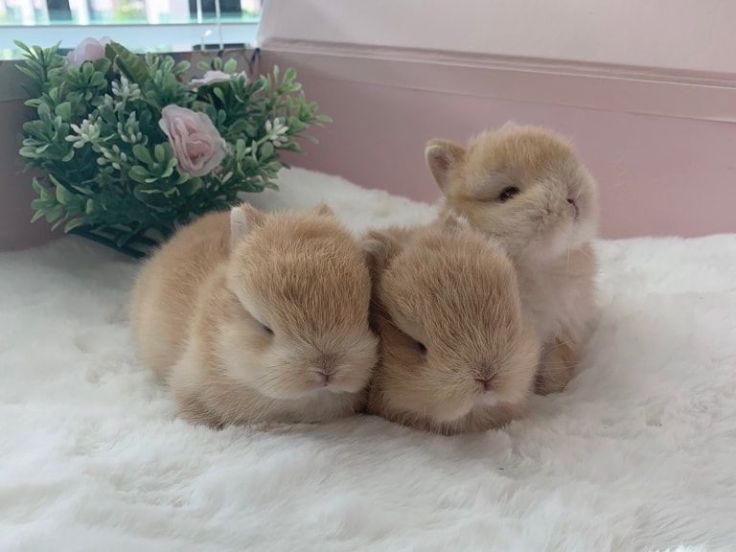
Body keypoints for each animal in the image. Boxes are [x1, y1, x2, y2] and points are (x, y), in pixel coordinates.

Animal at [425, 123, 599, 395]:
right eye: (507, 194)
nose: (572, 194)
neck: (540, 266)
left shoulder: (563, 330)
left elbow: (557, 364)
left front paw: (552, 390)